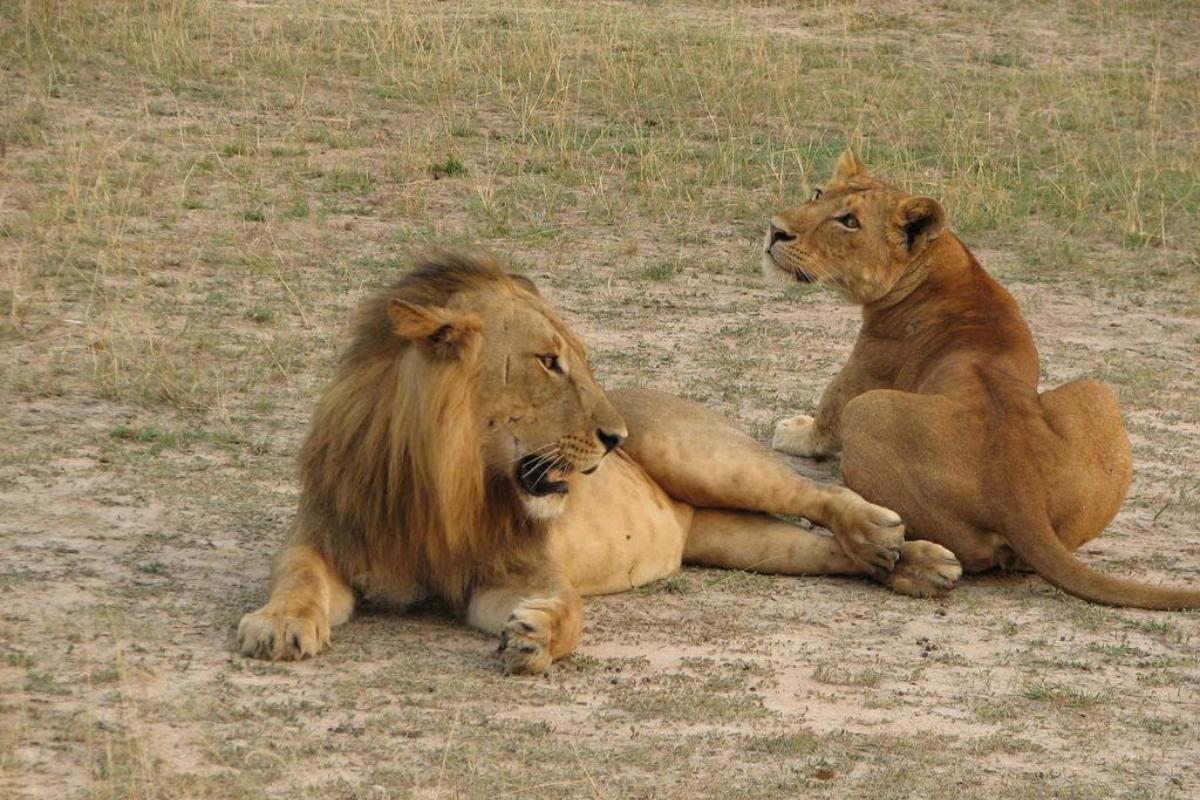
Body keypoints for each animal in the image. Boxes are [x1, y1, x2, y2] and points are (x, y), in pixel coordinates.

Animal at [237, 251, 962, 673]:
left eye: (580, 360)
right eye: (547, 361)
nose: (615, 438)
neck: (448, 483)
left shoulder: (519, 573)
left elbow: (570, 610)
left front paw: (538, 636)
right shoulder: (326, 533)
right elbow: (298, 574)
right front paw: (279, 625)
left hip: (705, 456)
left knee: (817, 499)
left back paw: (891, 537)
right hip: (732, 538)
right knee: (822, 550)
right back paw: (910, 563)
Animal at [763, 151, 1200, 609]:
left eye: (849, 221)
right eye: (818, 194)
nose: (775, 229)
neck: (942, 261)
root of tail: (1018, 492)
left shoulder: (864, 369)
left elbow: (823, 421)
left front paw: (792, 429)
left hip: (867, 410)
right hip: (1099, 392)